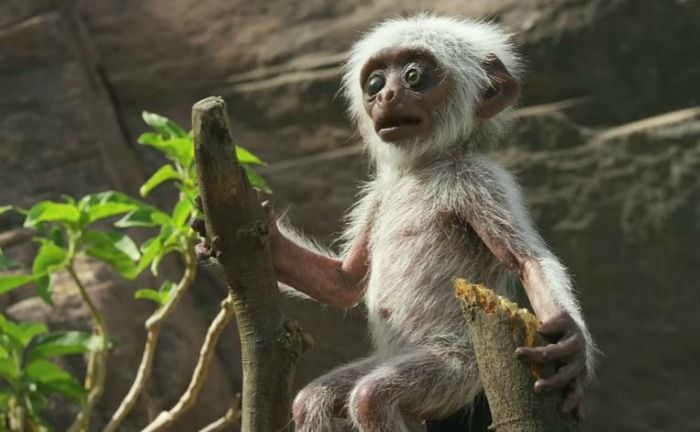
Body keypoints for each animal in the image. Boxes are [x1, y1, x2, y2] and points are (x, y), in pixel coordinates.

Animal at [195, 14, 594, 432]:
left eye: (414, 76)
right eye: (374, 83)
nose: (385, 95)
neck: (420, 169)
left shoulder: (479, 181)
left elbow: (528, 260)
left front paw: (571, 340)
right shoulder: (378, 195)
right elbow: (344, 280)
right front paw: (263, 236)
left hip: (459, 369)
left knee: (372, 397)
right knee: (314, 399)